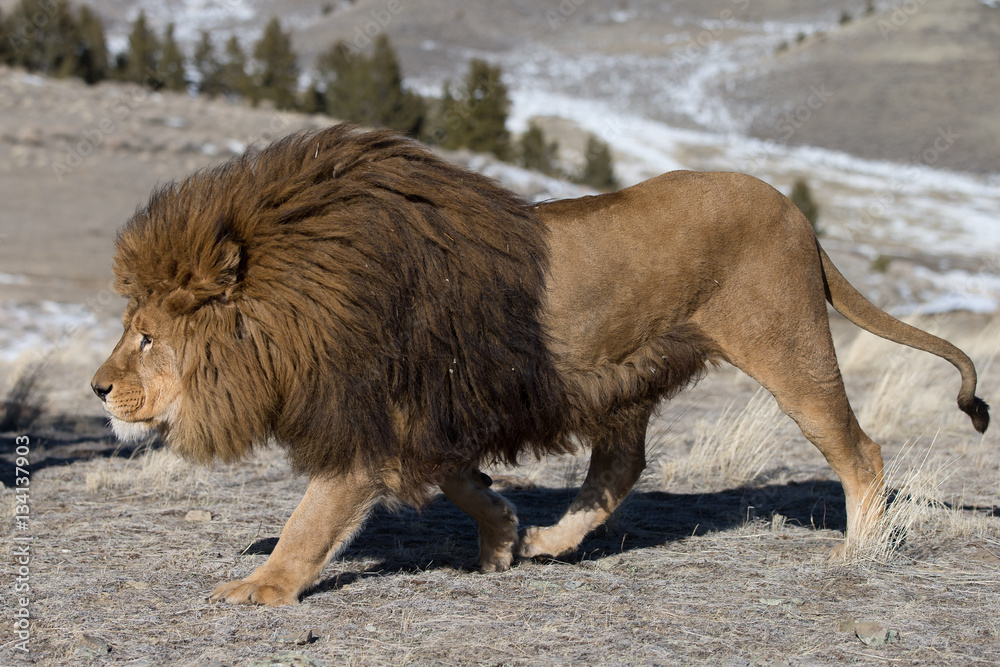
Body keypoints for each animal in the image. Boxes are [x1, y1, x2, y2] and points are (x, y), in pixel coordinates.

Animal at [92, 123, 989, 606]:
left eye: (145, 336)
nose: (97, 389)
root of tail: (798, 212)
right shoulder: (426, 415)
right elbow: (463, 481)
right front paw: (504, 539)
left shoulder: (374, 422)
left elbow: (310, 520)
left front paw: (262, 588)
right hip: (626, 371)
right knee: (620, 465)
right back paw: (556, 541)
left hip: (788, 344)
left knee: (859, 448)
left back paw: (858, 550)